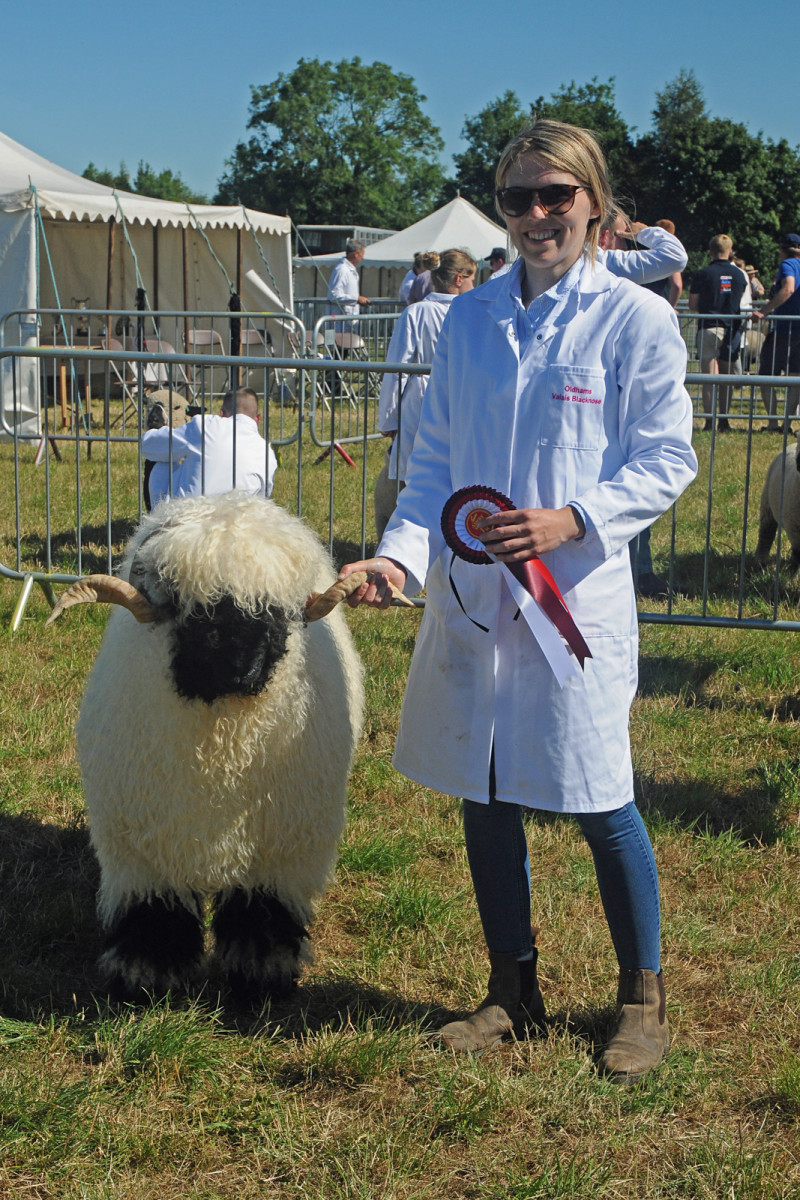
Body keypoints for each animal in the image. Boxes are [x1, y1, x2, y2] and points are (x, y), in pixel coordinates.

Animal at [46, 491, 376, 1003]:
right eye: (190, 611)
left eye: (278, 614)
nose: (243, 670)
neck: (223, 753)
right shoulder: (141, 850)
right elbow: (154, 910)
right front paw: (148, 975)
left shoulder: (277, 851)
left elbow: (262, 910)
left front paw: (260, 975)